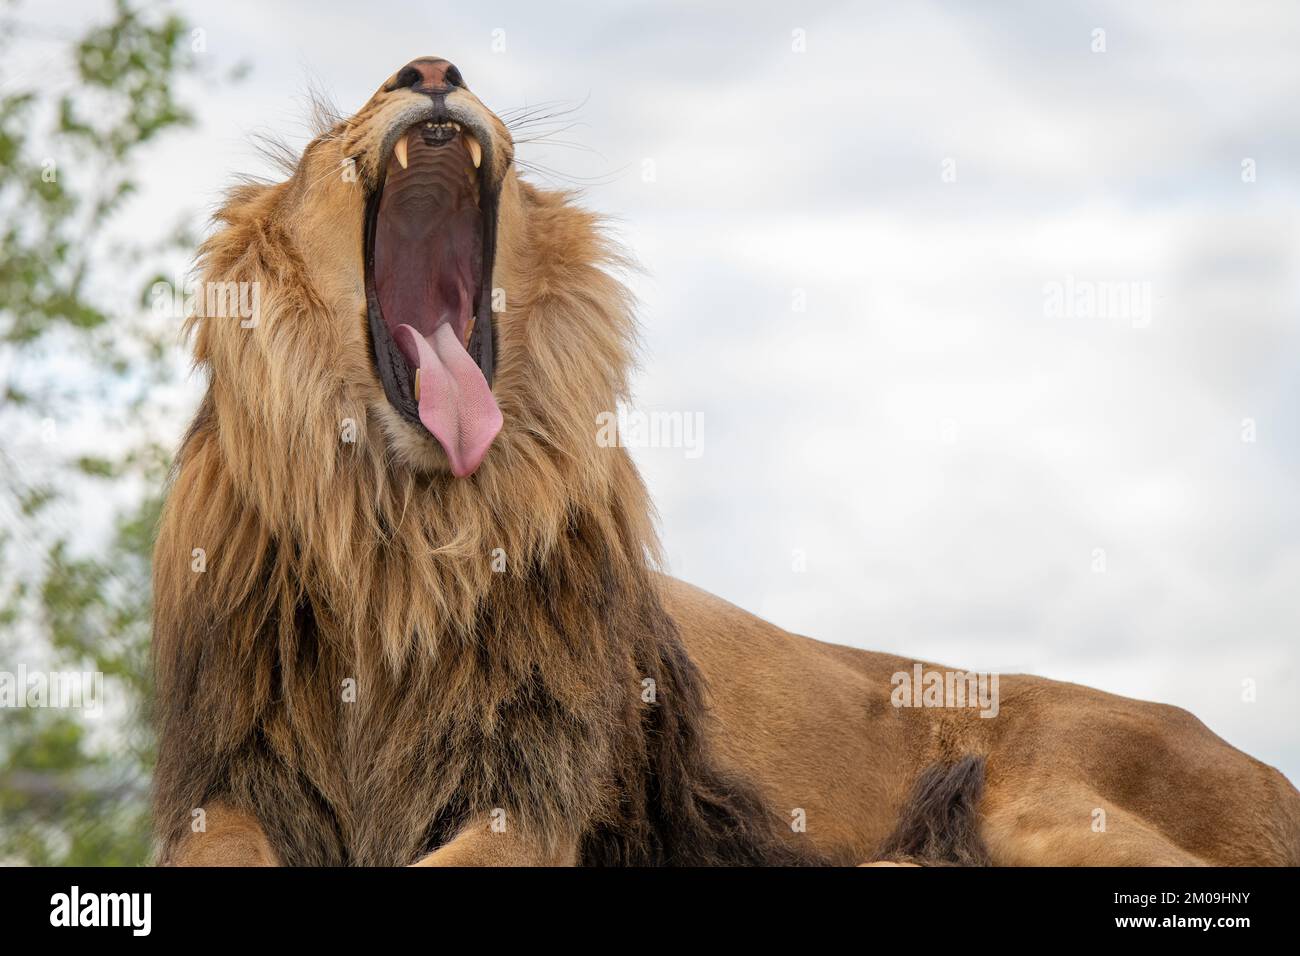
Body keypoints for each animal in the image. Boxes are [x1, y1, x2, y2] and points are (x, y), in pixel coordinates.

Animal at [152, 57, 1300, 866]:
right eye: (320, 142)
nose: (432, 68)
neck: (403, 538)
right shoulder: (229, 785)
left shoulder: (531, 791)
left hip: (1047, 799)